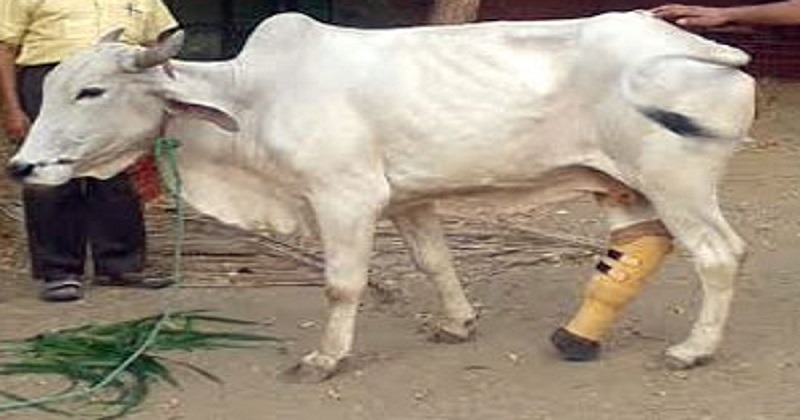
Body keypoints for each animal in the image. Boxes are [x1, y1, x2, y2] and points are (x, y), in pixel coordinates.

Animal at [7, 11, 755, 381]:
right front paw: (457, 324)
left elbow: (342, 284)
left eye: (91, 91)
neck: (254, 97)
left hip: (677, 181)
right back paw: (578, 339)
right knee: (643, 248)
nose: (22, 166)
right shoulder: (406, 198)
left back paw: (694, 350)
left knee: (719, 255)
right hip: (623, 186)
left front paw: (326, 358)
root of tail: (709, 48)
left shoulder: (345, 196)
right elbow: (435, 263)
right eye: (52, 85)